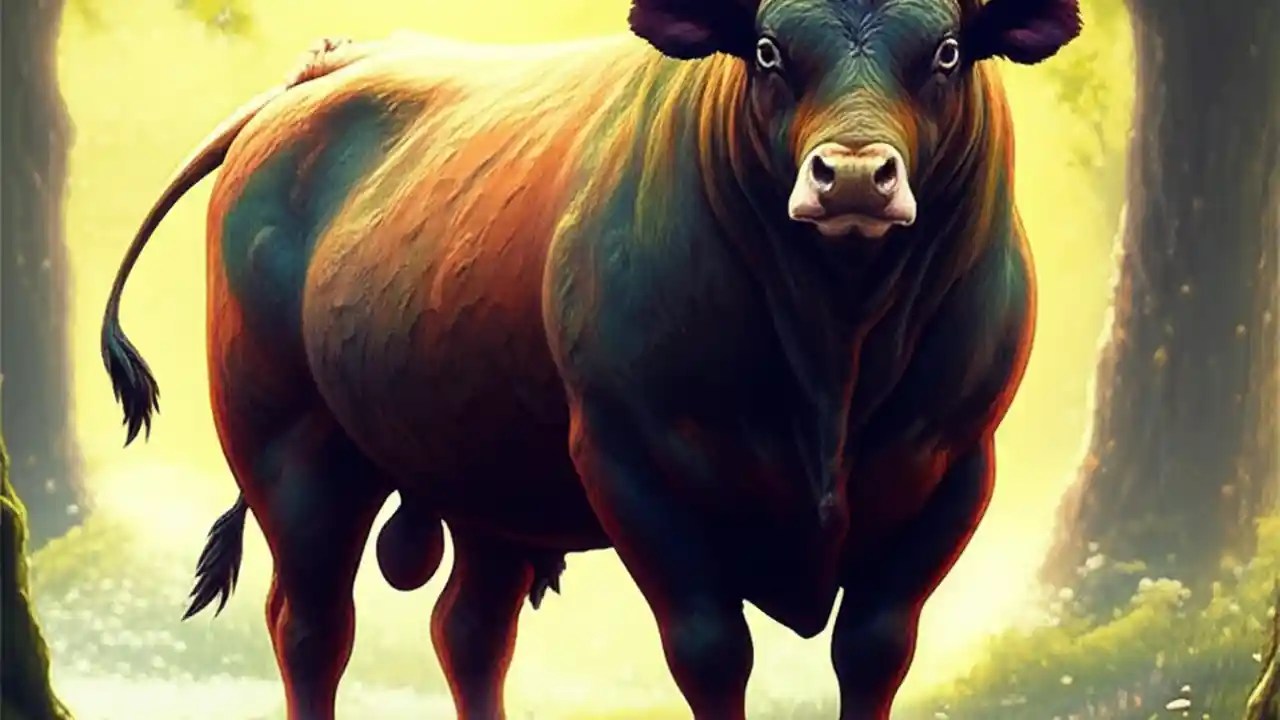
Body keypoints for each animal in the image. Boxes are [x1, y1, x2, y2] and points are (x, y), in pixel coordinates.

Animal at [100, 1, 1080, 718]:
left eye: (946, 51)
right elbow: (713, 652)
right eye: (768, 49)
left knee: (469, 630)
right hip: (290, 443)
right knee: (311, 625)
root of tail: (329, 67)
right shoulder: (635, 462)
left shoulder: (955, 469)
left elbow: (874, 652)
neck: (832, 352)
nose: (849, 177)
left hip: (490, 470)